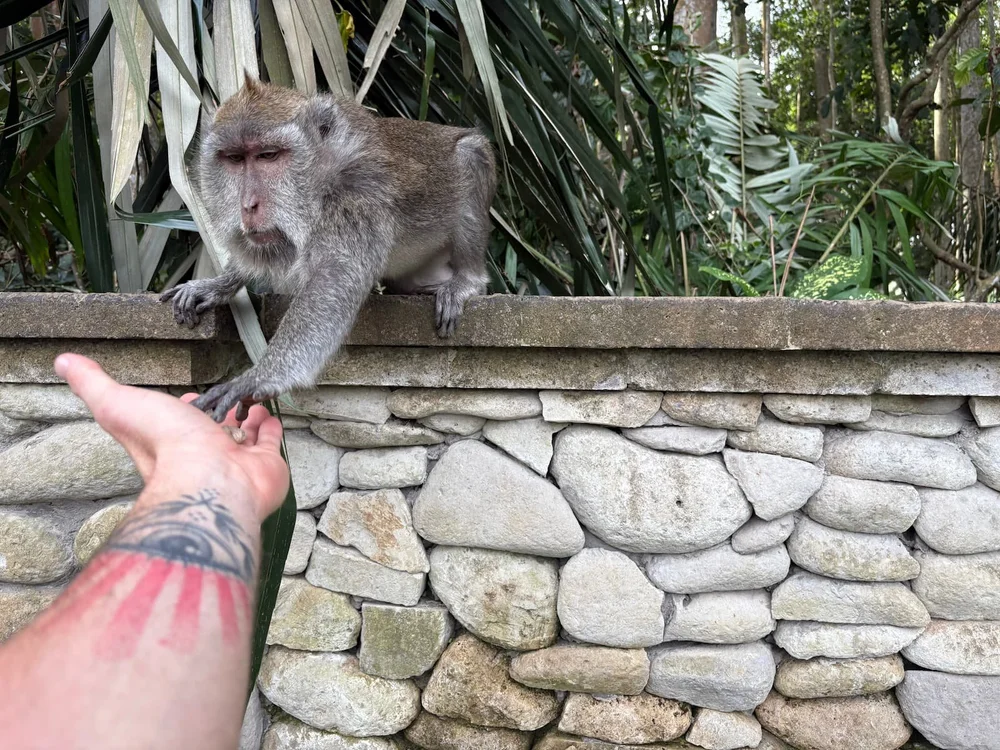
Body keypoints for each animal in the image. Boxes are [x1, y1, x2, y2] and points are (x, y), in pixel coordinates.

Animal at [161, 75, 497, 423]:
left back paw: (465, 281)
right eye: (235, 159)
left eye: (268, 155)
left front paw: (261, 377)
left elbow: (334, 279)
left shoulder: (358, 199)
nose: (248, 205)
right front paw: (218, 284)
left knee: (471, 156)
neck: (322, 177)